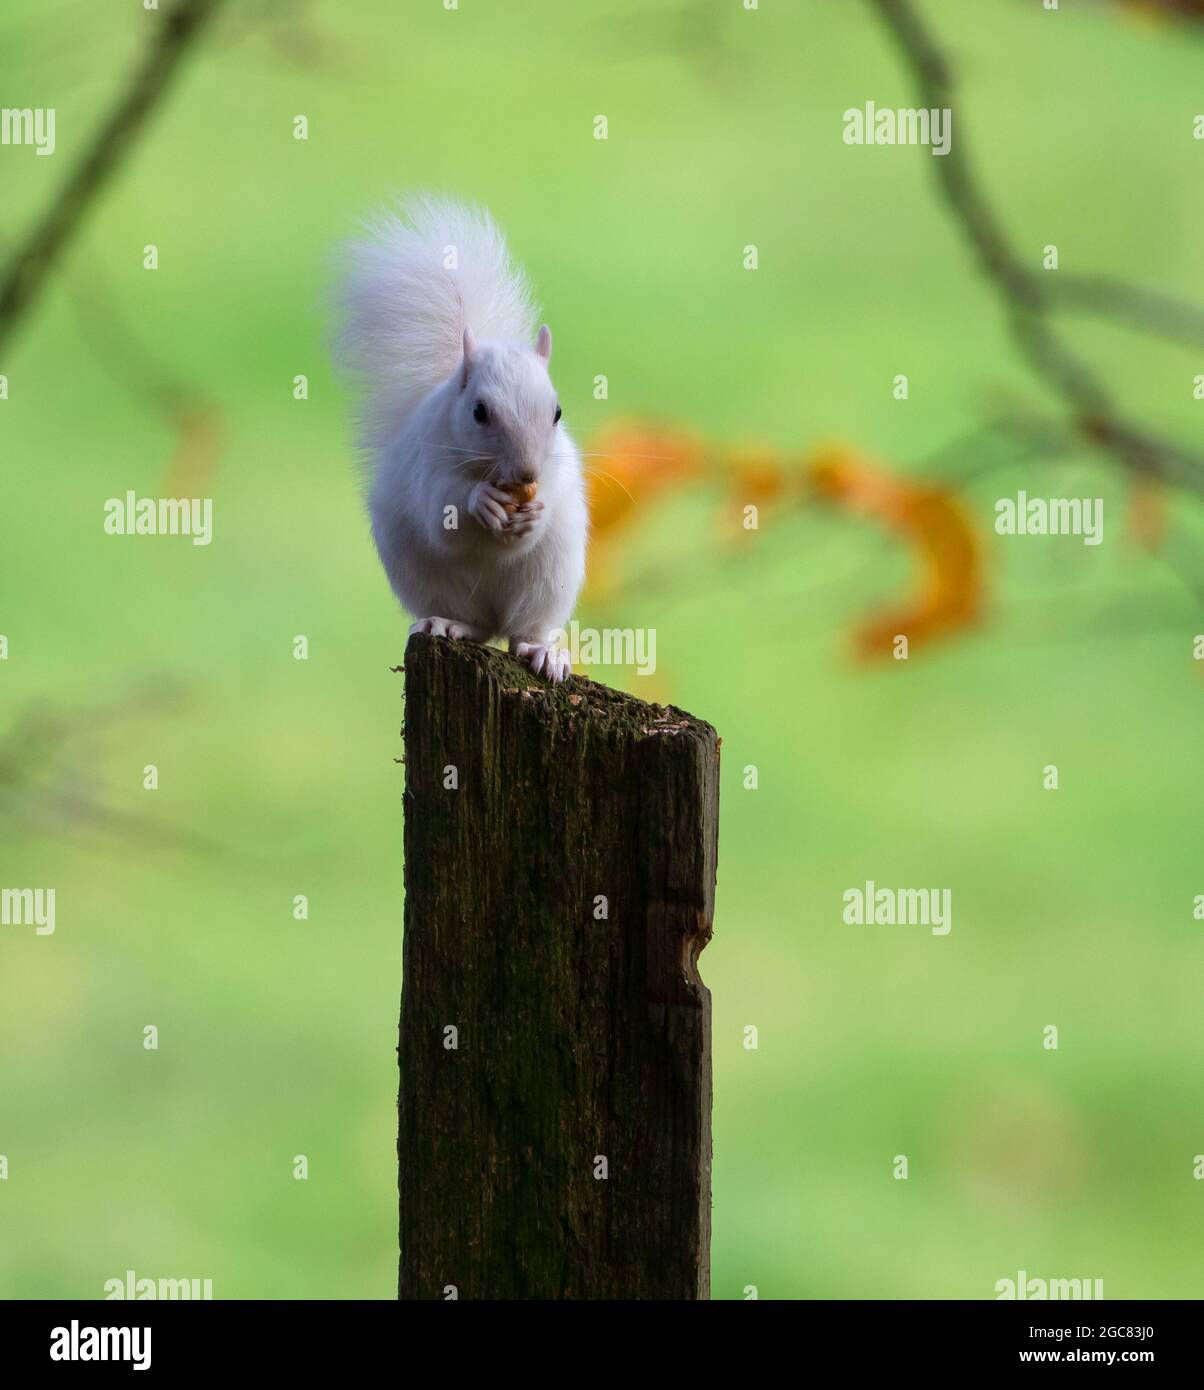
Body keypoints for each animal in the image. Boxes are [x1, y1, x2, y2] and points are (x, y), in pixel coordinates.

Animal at [335, 195, 587, 683]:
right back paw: (449, 624)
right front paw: (480, 502)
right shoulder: (427, 466)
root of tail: (495, 619)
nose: (526, 472)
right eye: (479, 412)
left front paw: (535, 512)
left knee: (525, 632)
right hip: (432, 581)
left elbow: (544, 504)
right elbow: (443, 513)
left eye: (557, 413)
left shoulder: (557, 471)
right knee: (473, 624)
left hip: (548, 583)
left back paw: (543, 652)